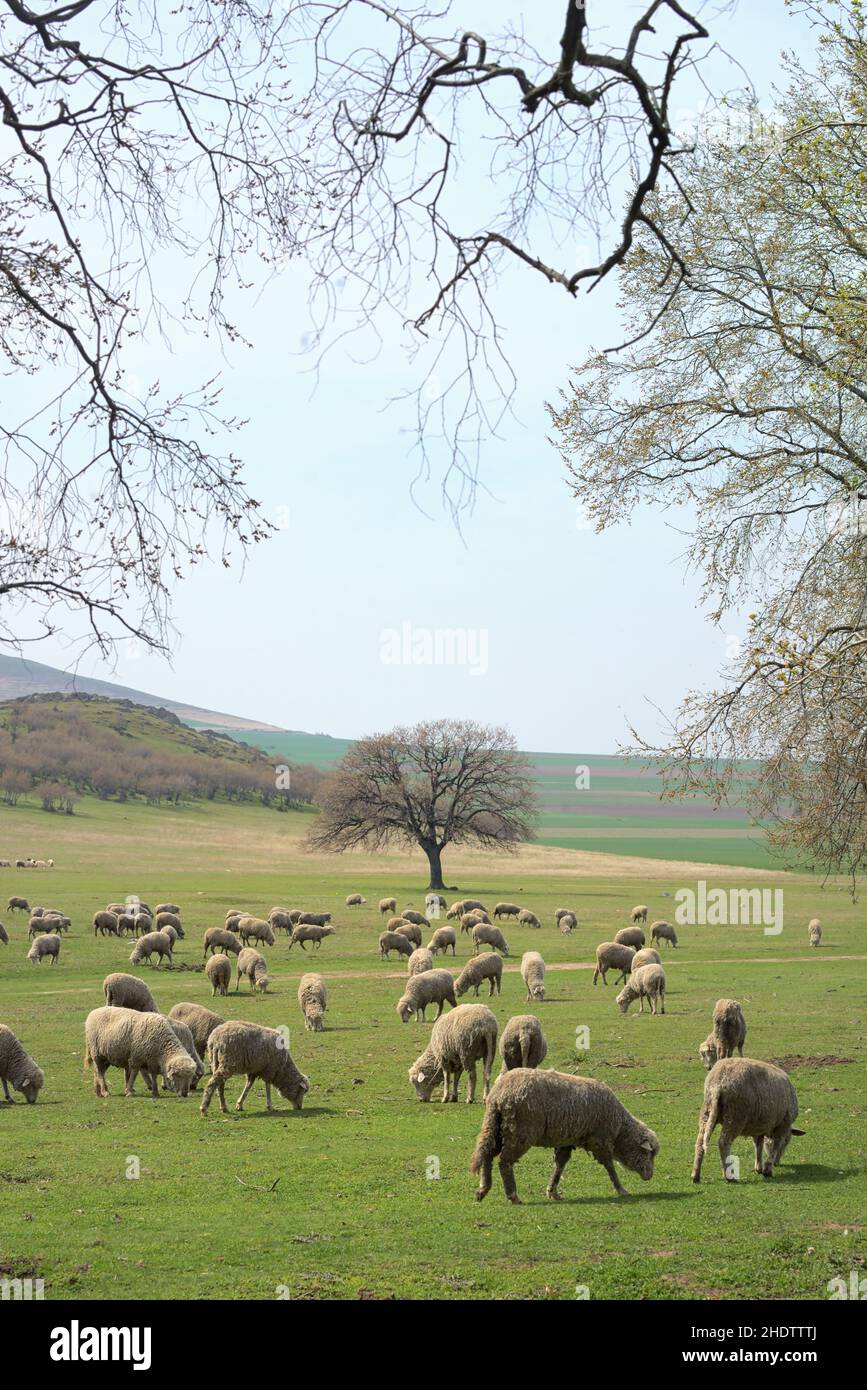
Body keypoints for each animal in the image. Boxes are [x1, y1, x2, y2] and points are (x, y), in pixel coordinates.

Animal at [471, 1069, 660, 1204]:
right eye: (648, 1153)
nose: (649, 1176)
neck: (620, 1128)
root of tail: (498, 1096)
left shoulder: (567, 1141)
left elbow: (559, 1165)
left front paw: (553, 1192)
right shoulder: (601, 1140)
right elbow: (609, 1166)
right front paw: (621, 1190)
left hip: (497, 1127)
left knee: (487, 1155)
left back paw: (483, 1190)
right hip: (520, 1132)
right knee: (504, 1162)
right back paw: (513, 1196)